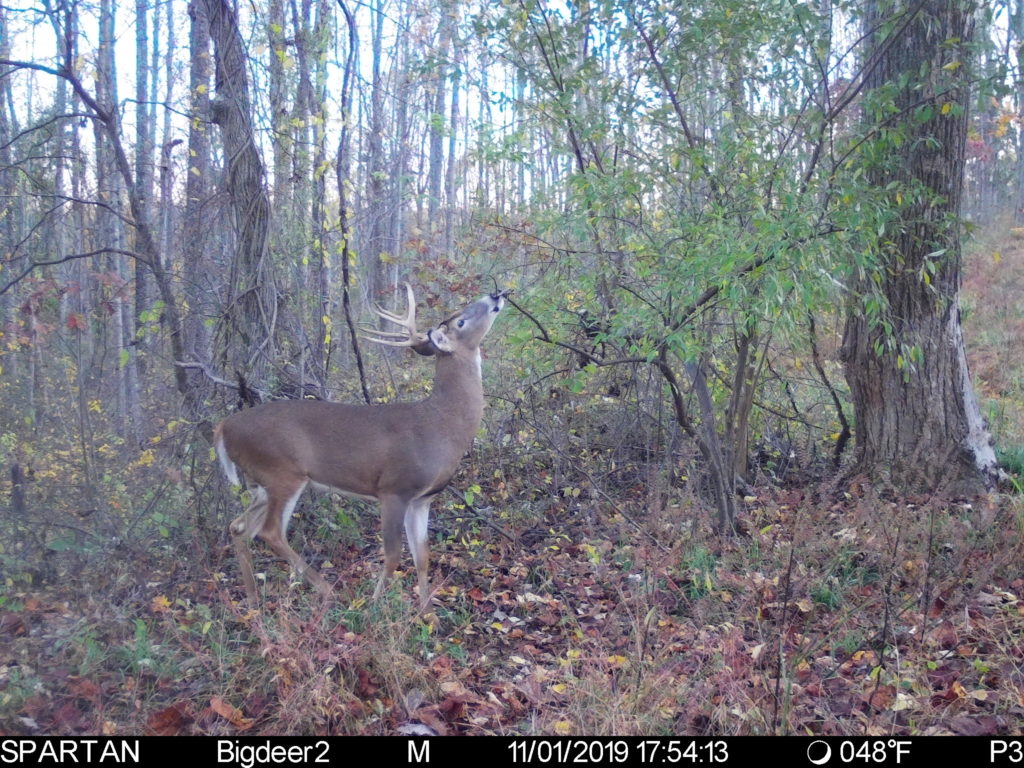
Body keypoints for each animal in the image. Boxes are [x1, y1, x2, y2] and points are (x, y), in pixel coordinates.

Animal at [213, 284, 508, 613]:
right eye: (460, 322)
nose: (496, 294)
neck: (442, 425)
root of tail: (223, 427)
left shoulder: (422, 499)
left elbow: (422, 556)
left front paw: (427, 613)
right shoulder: (394, 489)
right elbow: (393, 555)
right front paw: (374, 606)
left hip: (261, 483)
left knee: (239, 527)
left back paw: (253, 602)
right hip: (282, 472)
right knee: (270, 532)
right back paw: (326, 589)